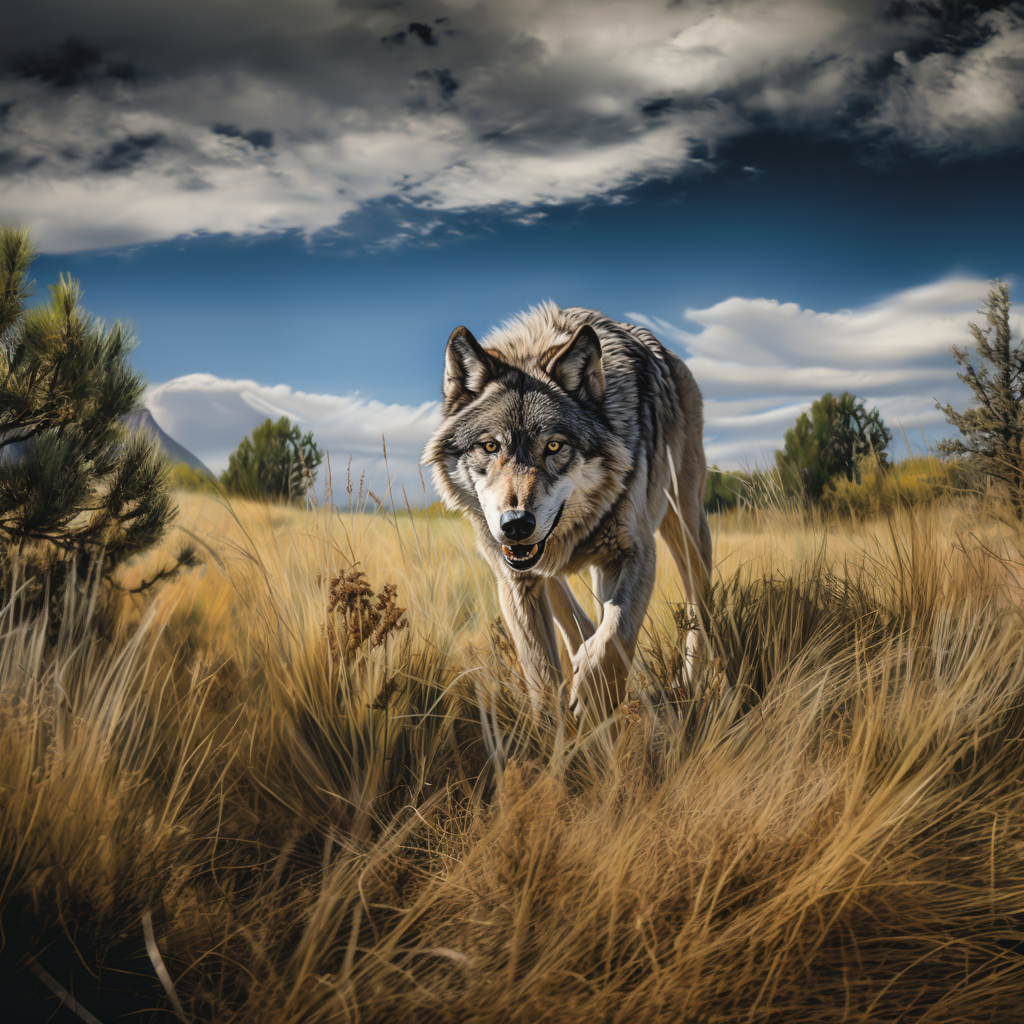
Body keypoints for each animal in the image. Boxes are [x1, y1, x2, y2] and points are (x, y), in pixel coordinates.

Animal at [423, 303, 712, 732]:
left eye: (554, 446)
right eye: (490, 447)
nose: (516, 524)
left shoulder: (638, 553)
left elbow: (617, 631)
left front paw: (595, 699)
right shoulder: (513, 578)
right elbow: (541, 672)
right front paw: (552, 737)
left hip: (684, 525)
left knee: (698, 603)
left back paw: (689, 682)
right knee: (570, 604)